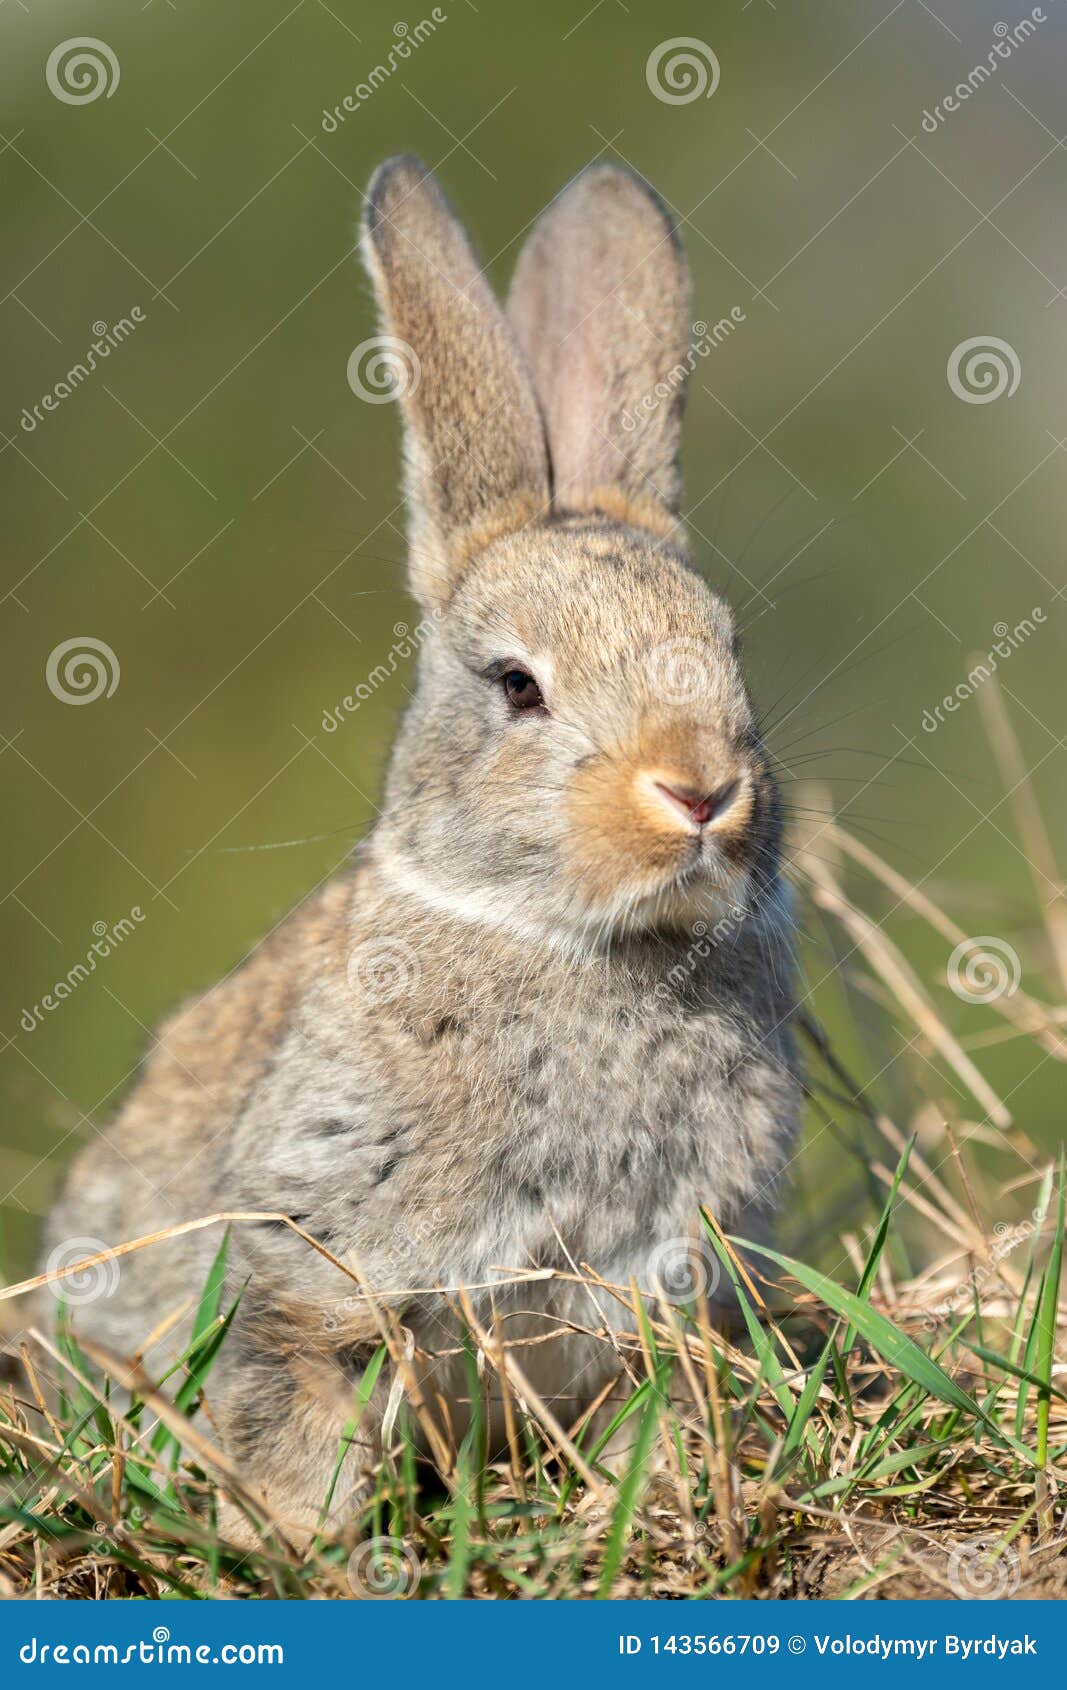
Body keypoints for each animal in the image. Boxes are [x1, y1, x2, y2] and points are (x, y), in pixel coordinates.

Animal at [34, 155, 800, 1543]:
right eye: (516, 686)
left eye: (728, 657)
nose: (700, 790)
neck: (577, 942)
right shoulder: (316, 1271)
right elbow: (296, 1407)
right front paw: (303, 1541)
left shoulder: (660, 1298)